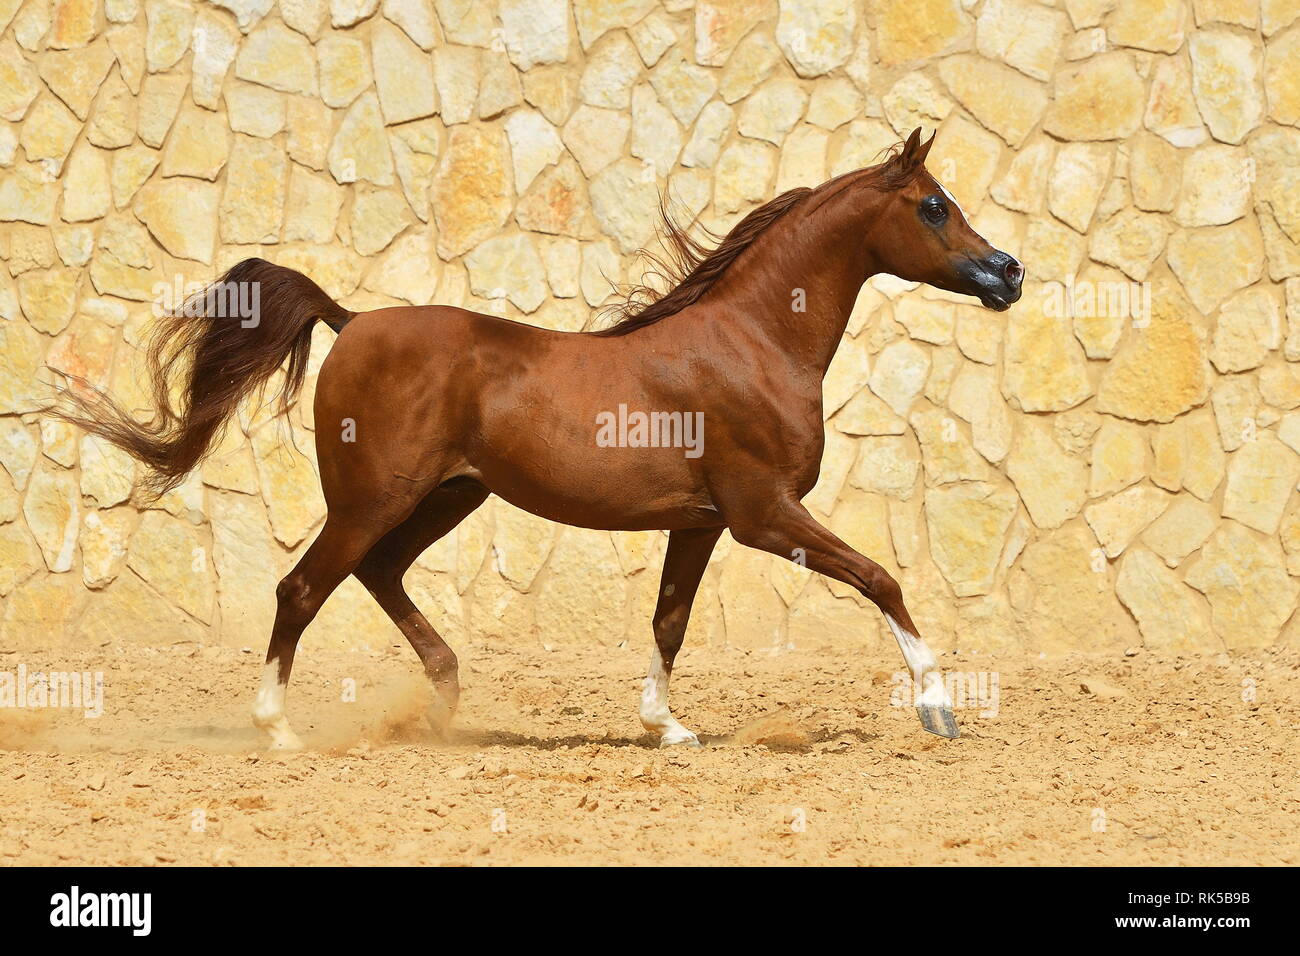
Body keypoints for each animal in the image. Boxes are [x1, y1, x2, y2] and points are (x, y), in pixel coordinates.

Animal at [48, 128, 1023, 749]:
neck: (753, 341)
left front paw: (668, 727)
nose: (1008, 273)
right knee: (301, 588)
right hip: (374, 498)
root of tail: (352, 322)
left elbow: (670, 622)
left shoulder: (702, 523)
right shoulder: (763, 515)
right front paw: (940, 709)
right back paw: (278, 729)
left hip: (447, 495)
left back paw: (442, 703)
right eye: (934, 207)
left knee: (376, 574)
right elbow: (882, 579)